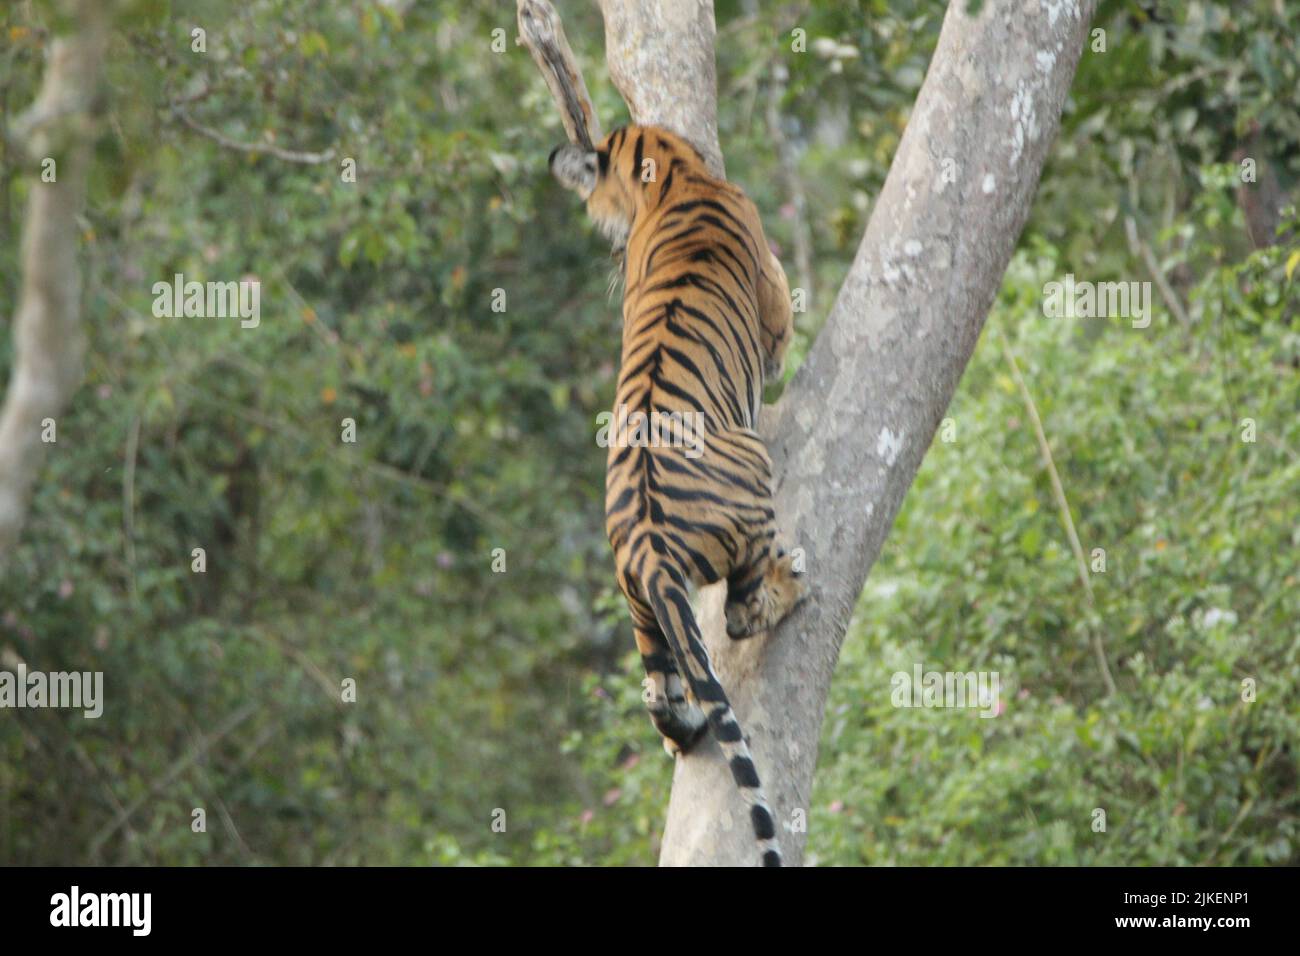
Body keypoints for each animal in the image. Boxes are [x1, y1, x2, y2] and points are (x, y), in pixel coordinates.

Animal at [550, 125, 807, 867]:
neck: (671, 175)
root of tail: (645, 545)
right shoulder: (770, 296)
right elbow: (782, 315)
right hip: (751, 462)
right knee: (743, 612)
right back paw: (792, 582)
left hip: (639, 603)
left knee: (663, 694)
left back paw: (679, 728)